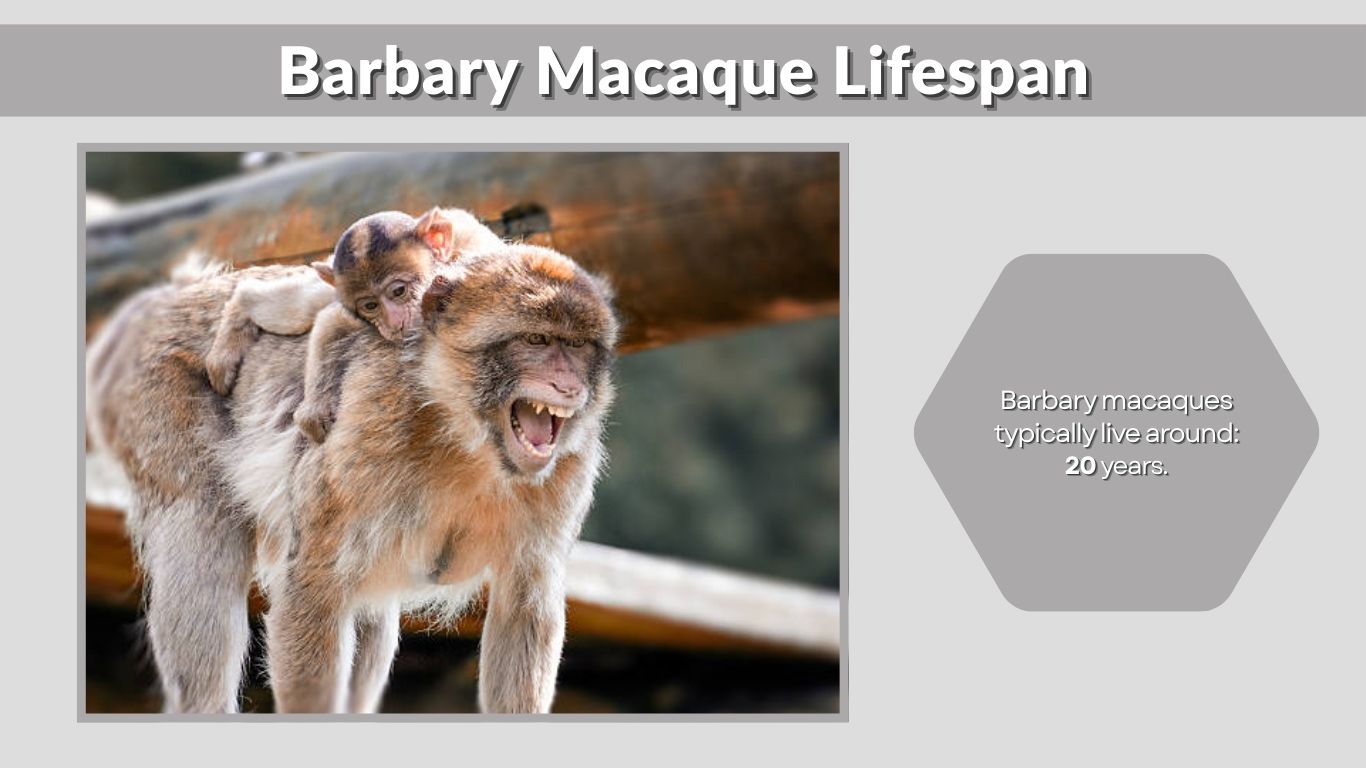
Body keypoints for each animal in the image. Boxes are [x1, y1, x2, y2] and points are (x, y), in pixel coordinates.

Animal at [86, 242, 618, 713]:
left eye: (576, 346)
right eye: (536, 341)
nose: (568, 387)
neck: (466, 433)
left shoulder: (567, 472)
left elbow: (525, 608)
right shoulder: (362, 433)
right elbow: (313, 590)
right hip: (157, 394)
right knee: (204, 538)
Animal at [205, 207, 504, 442]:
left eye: (399, 291)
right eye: (370, 306)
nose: (394, 323)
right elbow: (330, 320)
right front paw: (315, 407)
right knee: (301, 309)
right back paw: (242, 305)